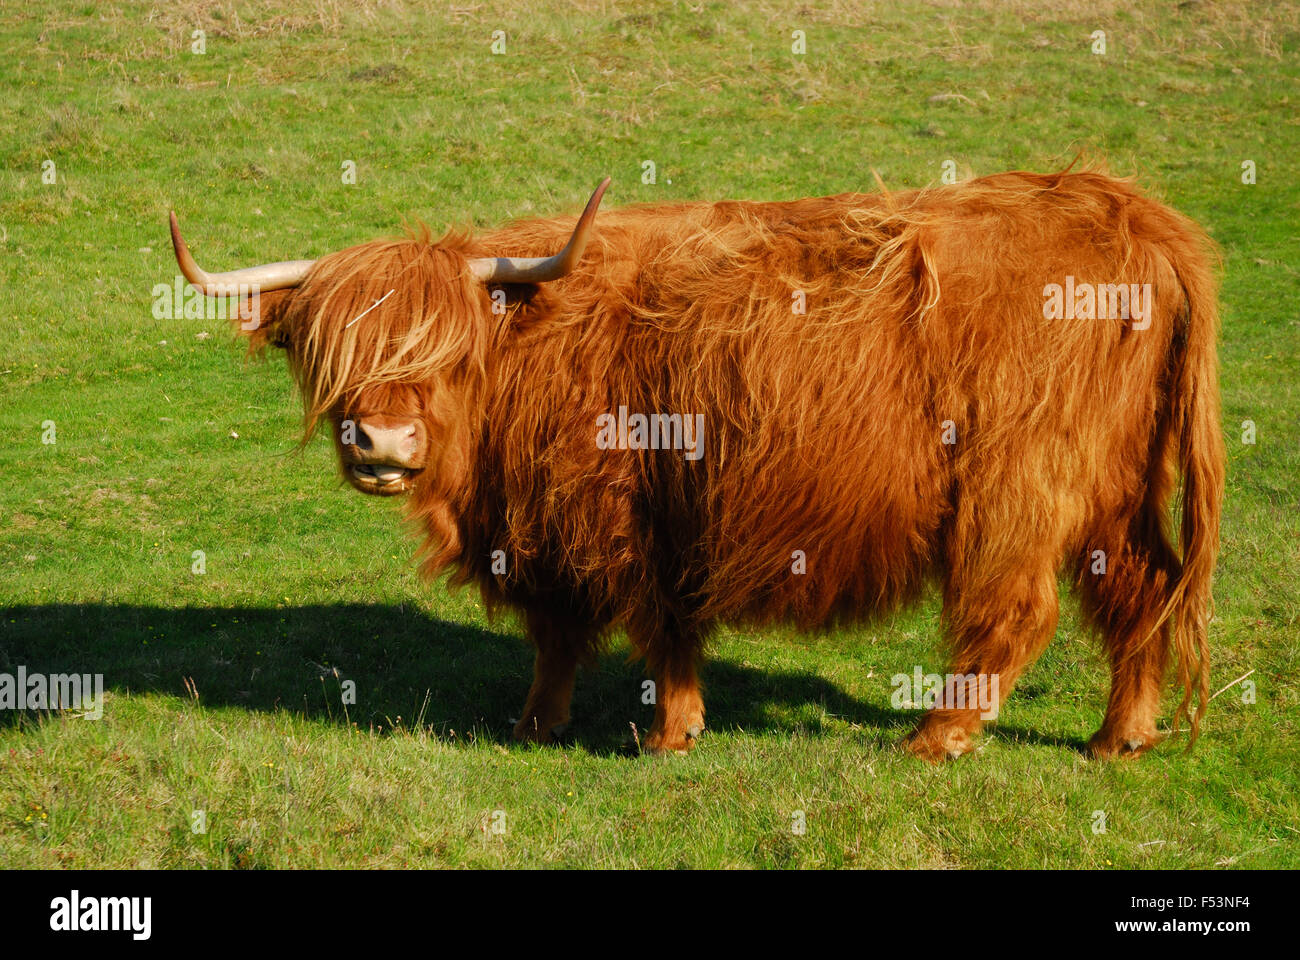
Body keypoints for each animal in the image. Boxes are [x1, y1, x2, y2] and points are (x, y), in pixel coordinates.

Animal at [168, 168, 1224, 760]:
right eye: (329, 352)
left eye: (446, 352)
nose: (382, 446)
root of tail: (1126, 210)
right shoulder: (584, 526)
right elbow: (568, 633)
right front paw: (539, 723)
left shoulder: (620, 515)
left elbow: (645, 625)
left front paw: (665, 734)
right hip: (1117, 488)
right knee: (1144, 589)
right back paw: (1119, 736)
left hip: (1018, 484)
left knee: (1016, 609)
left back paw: (939, 738)